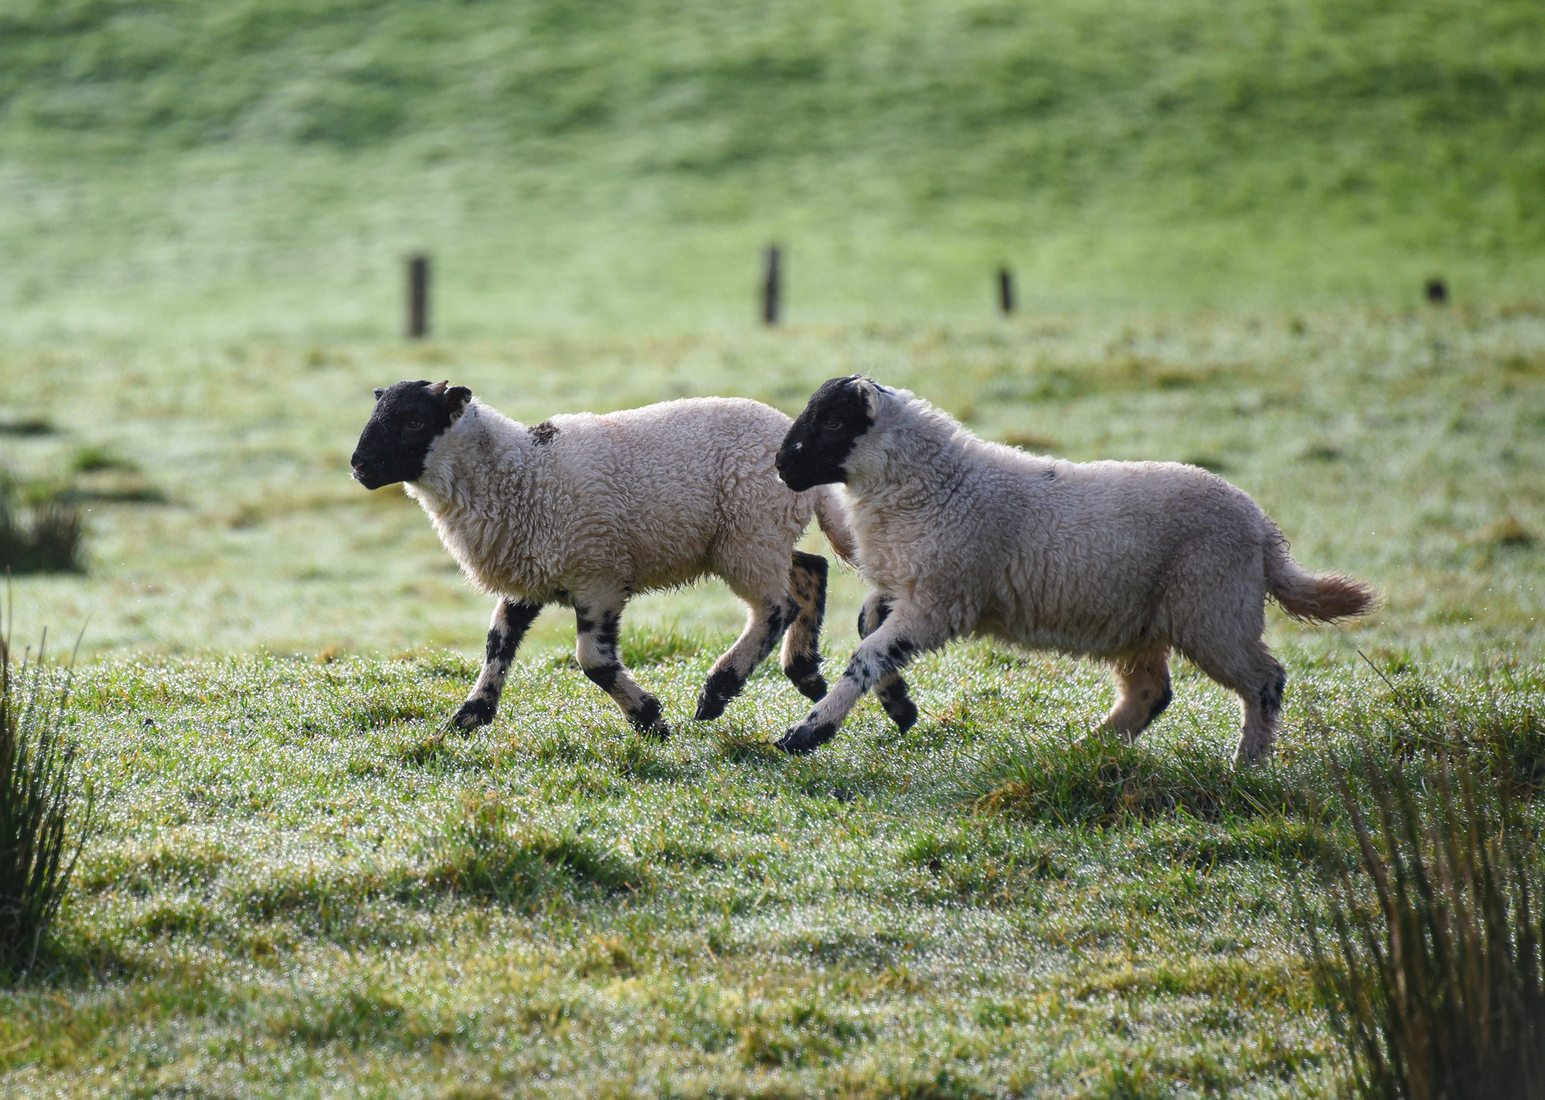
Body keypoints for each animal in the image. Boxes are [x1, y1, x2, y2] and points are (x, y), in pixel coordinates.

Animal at [349, 379, 856, 737]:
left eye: (413, 421)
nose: (358, 465)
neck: (516, 472)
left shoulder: (599, 575)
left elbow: (593, 661)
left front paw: (649, 718)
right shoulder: (528, 578)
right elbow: (498, 644)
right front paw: (470, 715)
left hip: (749, 534)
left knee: (775, 608)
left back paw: (718, 691)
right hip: (757, 539)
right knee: (810, 570)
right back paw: (806, 674)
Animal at [772, 375, 1376, 765]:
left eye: (833, 420)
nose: (781, 465)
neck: (937, 482)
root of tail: (1264, 533)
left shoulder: (940, 599)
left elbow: (867, 655)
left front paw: (808, 733)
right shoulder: (909, 587)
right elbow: (868, 631)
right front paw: (900, 706)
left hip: (1214, 610)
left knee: (1265, 680)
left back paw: (1245, 765)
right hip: (1144, 624)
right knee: (1151, 693)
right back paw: (1089, 750)